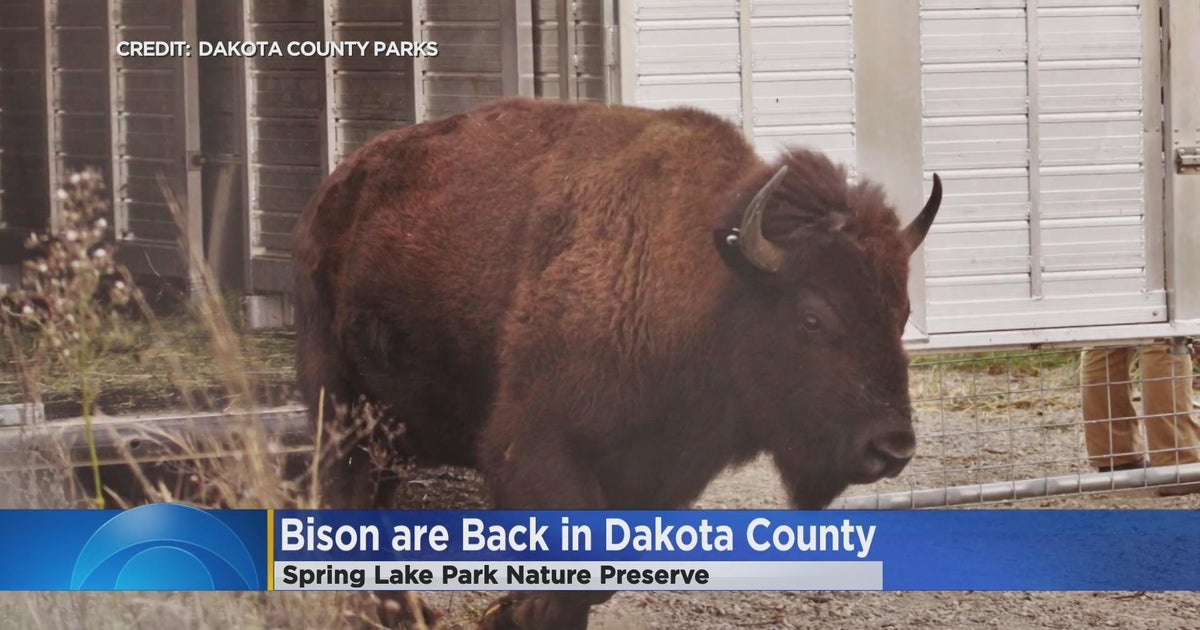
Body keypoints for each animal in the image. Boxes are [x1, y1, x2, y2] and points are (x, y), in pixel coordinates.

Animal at [292, 96, 941, 629]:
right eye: (812, 318)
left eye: (902, 312)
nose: (892, 447)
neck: (708, 283)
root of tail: (335, 192)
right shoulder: (535, 449)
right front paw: (519, 612)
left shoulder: (656, 475)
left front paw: (515, 610)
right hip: (339, 407)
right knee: (343, 502)